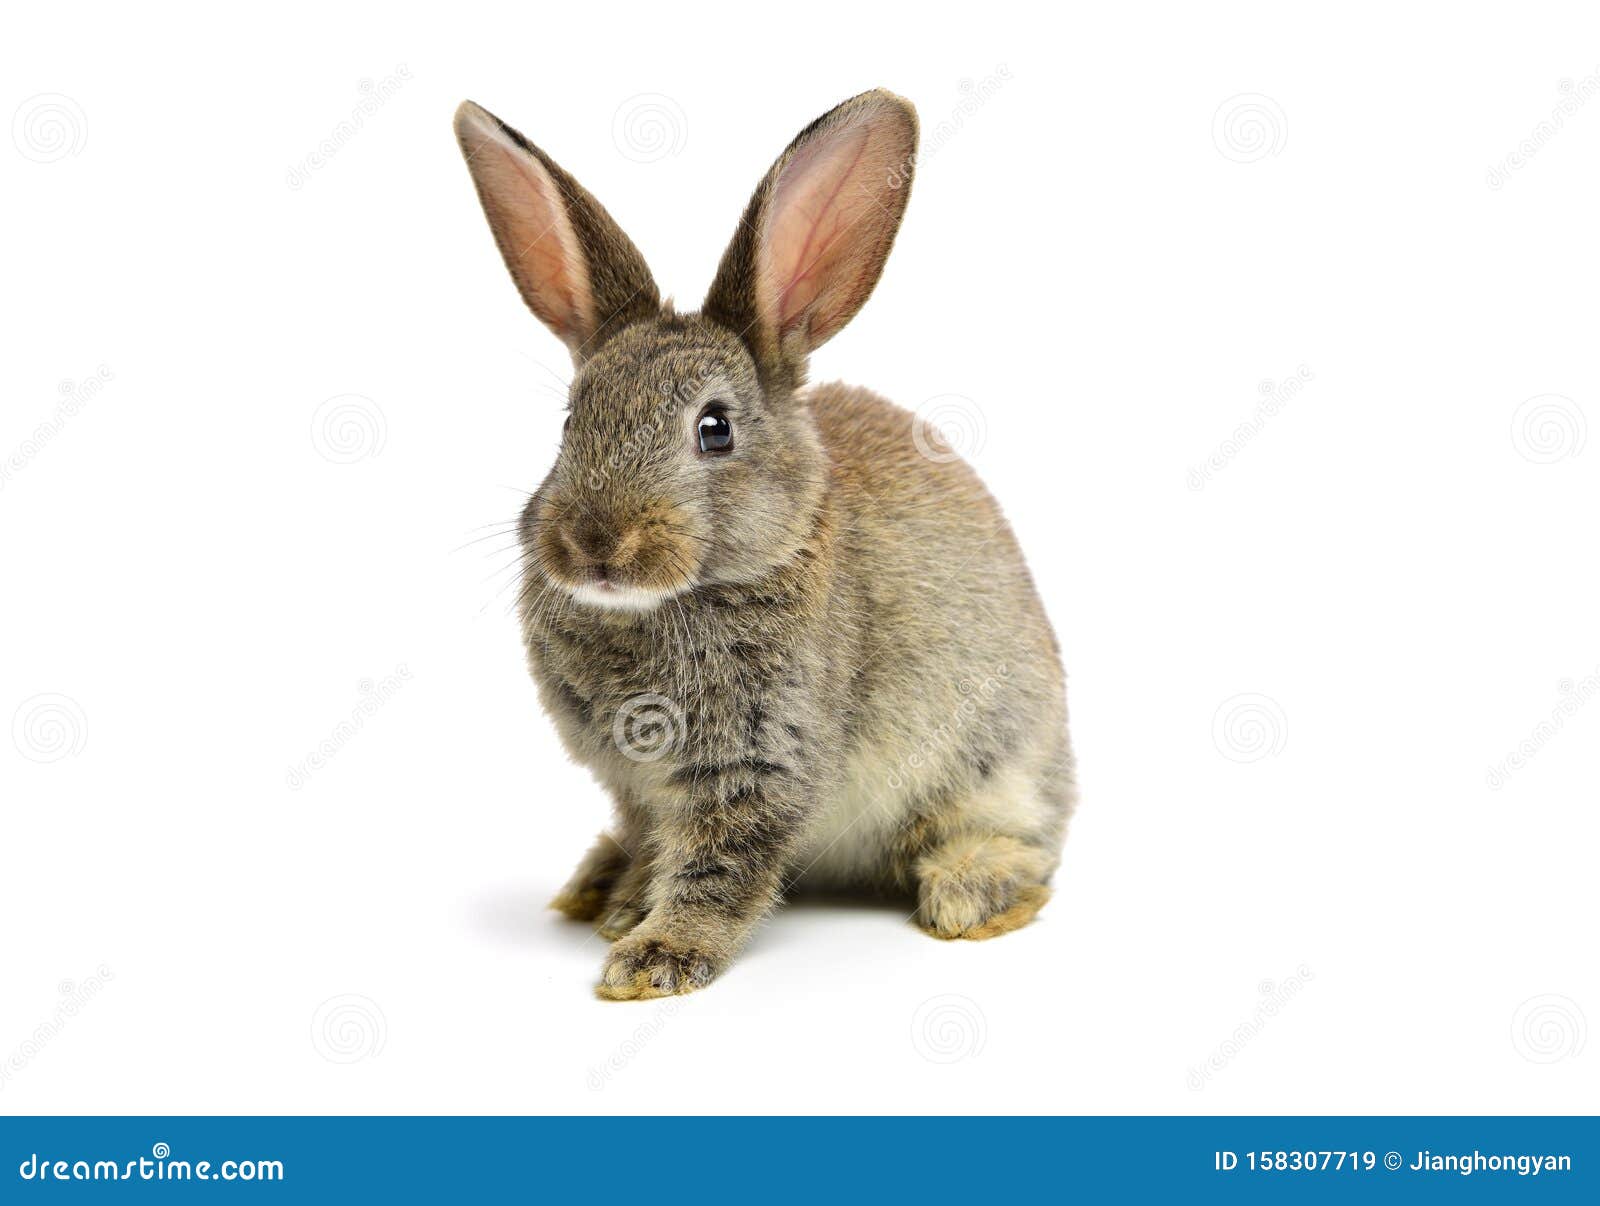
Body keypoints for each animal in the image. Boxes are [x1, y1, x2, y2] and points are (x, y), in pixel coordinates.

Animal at [453, 89, 1076, 999]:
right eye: (570, 421)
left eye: (714, 429)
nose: (595, 542)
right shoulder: (633, 785)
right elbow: (653, 840)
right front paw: (628, 906)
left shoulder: (759, 764)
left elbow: (721, 867)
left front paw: (652, 960)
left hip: (998, 756)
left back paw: (970, 894)